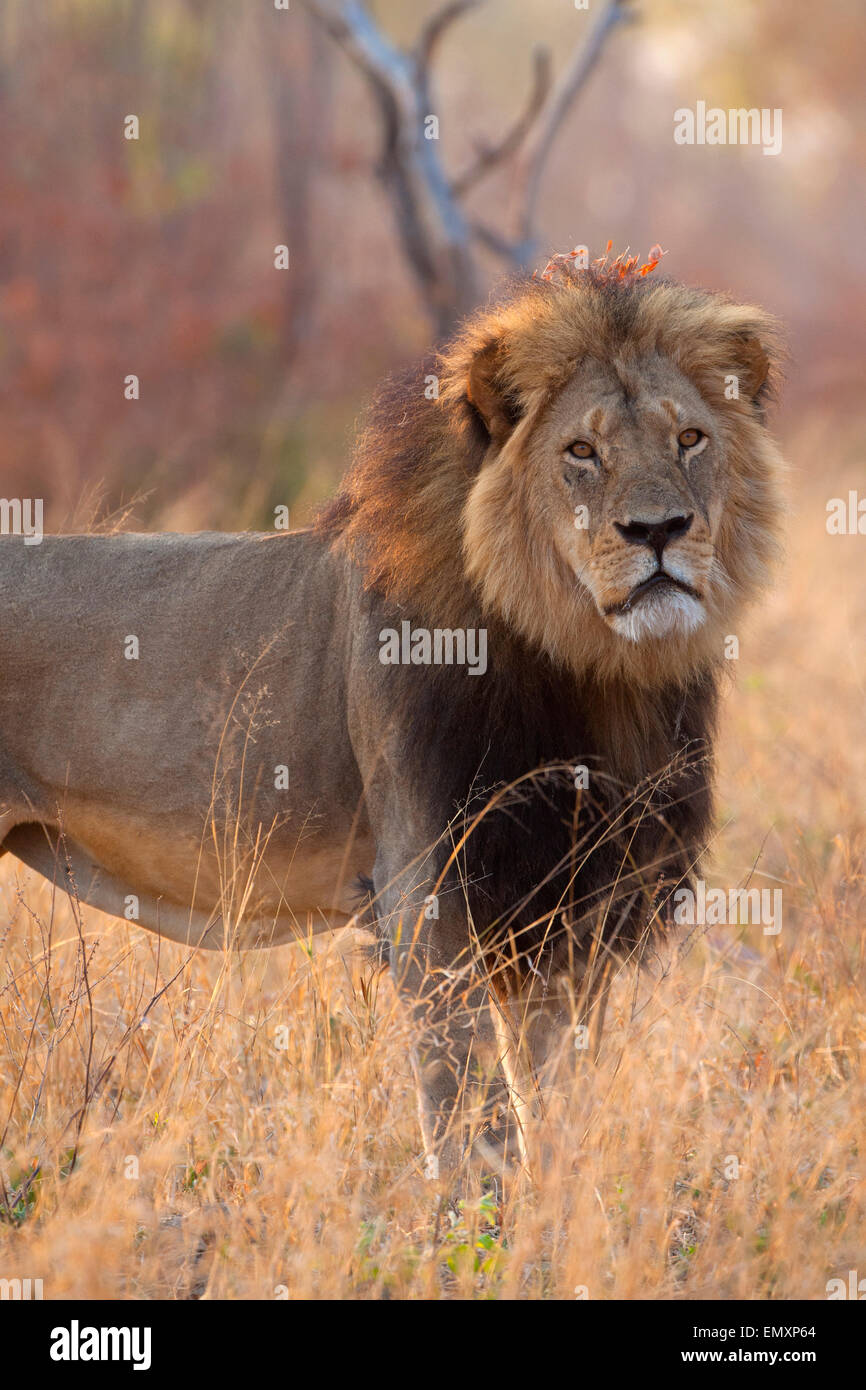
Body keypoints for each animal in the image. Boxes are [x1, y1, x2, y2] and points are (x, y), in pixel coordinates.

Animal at [0, 257, 784, 1175]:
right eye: (581, 452)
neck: (596, 670)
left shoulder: (577, 912)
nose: (657, 530)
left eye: (689, 439)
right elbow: (471, 1120)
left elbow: (554, 1101)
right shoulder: (426, 897)